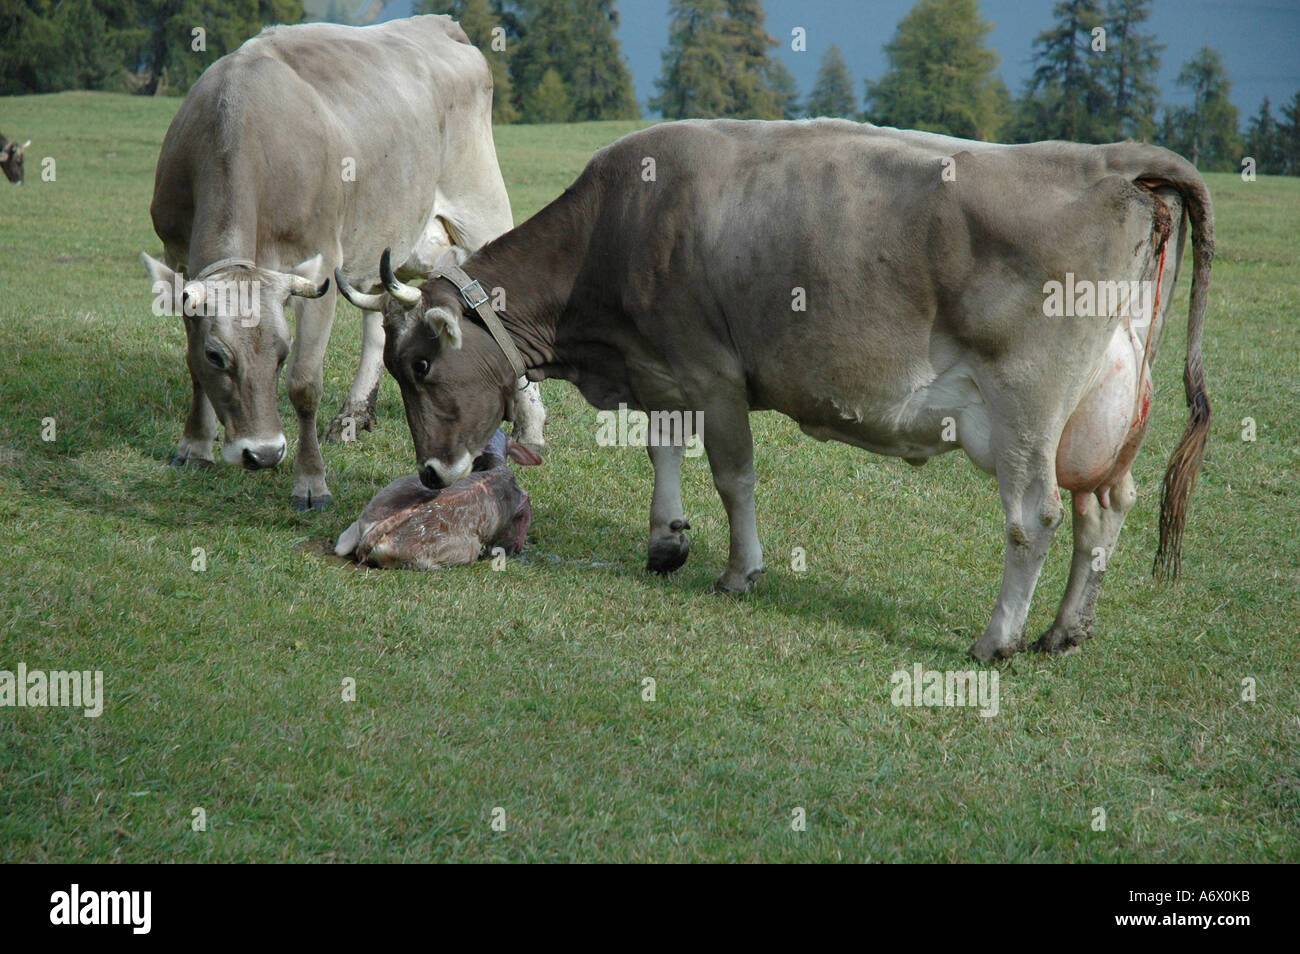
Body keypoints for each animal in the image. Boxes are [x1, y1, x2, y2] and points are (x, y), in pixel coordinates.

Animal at [140, 14, 545, 511]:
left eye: (282, 352)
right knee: (381, 316)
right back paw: (354, 414)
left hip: (481, 212)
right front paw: (195, 446)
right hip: (385, 238)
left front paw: (311, 481)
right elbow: (191, 363)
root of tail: (437, 23)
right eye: (217, 355)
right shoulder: (177, 258)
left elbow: (304, 383)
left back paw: (532, 428)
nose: (263, 453)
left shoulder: (319, 267)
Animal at [339, 119, 1213, 663]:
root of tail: (1105, 160)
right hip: (1101, 416)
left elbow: (734, 477)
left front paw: (738, 570)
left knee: (1035, 516)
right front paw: (666, 540)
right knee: (1105, 511)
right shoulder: (663, 372)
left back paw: (996, 639)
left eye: (420, 367)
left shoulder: (713, 373)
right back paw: (1066, 631)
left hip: (1028, 406)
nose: (431, 476)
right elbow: (663, 453)